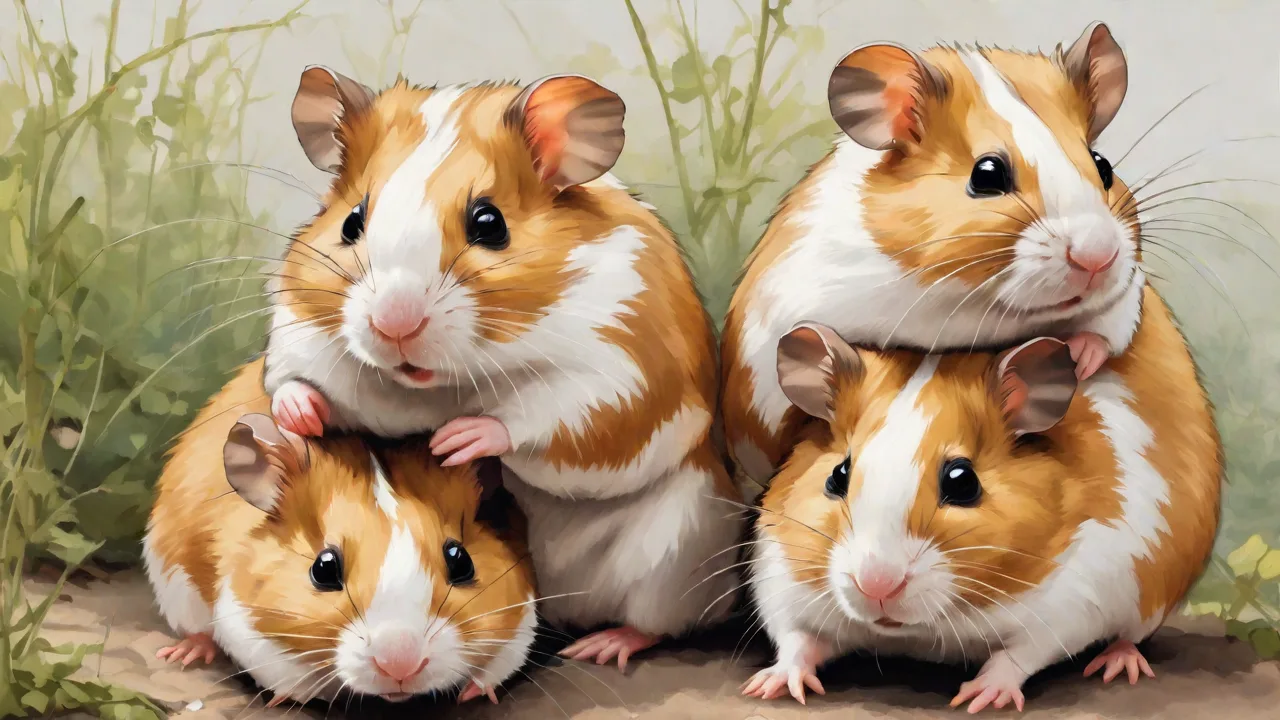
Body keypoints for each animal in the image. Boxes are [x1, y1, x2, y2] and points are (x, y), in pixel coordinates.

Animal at [142, 358, 537, 706]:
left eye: (461, 562)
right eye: (323, 568)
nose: (400, 667)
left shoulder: (521, 623)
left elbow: (498, 665)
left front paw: (475, 692)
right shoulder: (247, 625)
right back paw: (181, 654)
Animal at [264, 68, 741, 667]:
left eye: (489, 223)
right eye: (353, 221)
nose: (393, 324)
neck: (442, 382)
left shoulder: (619, 376)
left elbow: (536, 416)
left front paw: (455, 440)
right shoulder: (298, 333)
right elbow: (288, 380)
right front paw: (301, 416)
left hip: (677, 555)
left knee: (657, 623)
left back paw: (599, 646)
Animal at [721, 22, 1146, 488]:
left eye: (1102, 165)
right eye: (987, 175)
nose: (1098, 259)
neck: (961, 303)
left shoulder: (1125, 297)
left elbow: (1106, 329)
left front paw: (1079, 357)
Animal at [742, 285, 1221, 713]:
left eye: (963, 482)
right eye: (838, 476)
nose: (876, 586)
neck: (918, 629)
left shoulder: (1074, 602)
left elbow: (1019, 656)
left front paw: (975, 698)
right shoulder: (780, 583)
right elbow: (796, 642)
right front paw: (768, 686)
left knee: (1129, 638)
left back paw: (1118, 665)